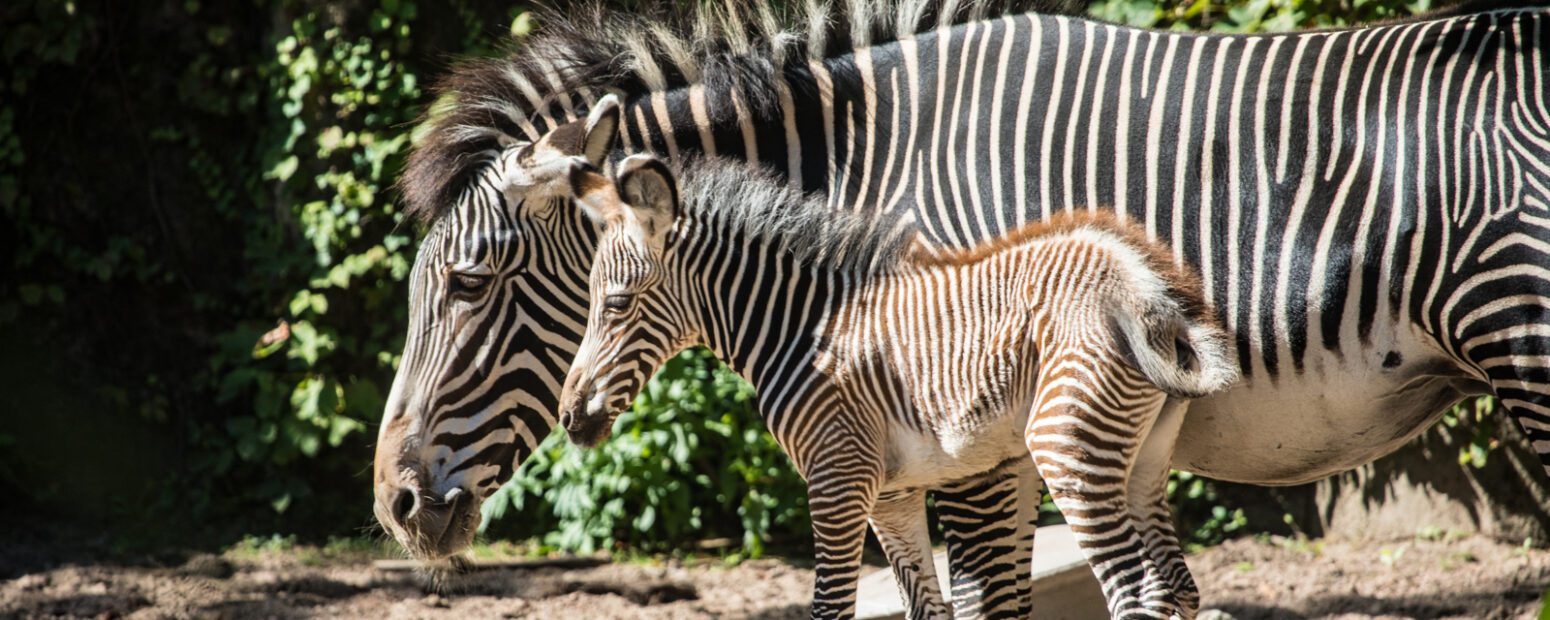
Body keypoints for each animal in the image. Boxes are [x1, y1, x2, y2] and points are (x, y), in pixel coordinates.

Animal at [556, 153, 1239, 618]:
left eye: (615, 304)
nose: (569, 419)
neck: (800, 328)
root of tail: (1140, 283)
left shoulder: (836, 480)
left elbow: (831, 608)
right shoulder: (891, 494)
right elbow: (926, 609)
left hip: (1066, 447)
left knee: (1134, 595)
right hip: (1143, 459)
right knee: (1176, 589)